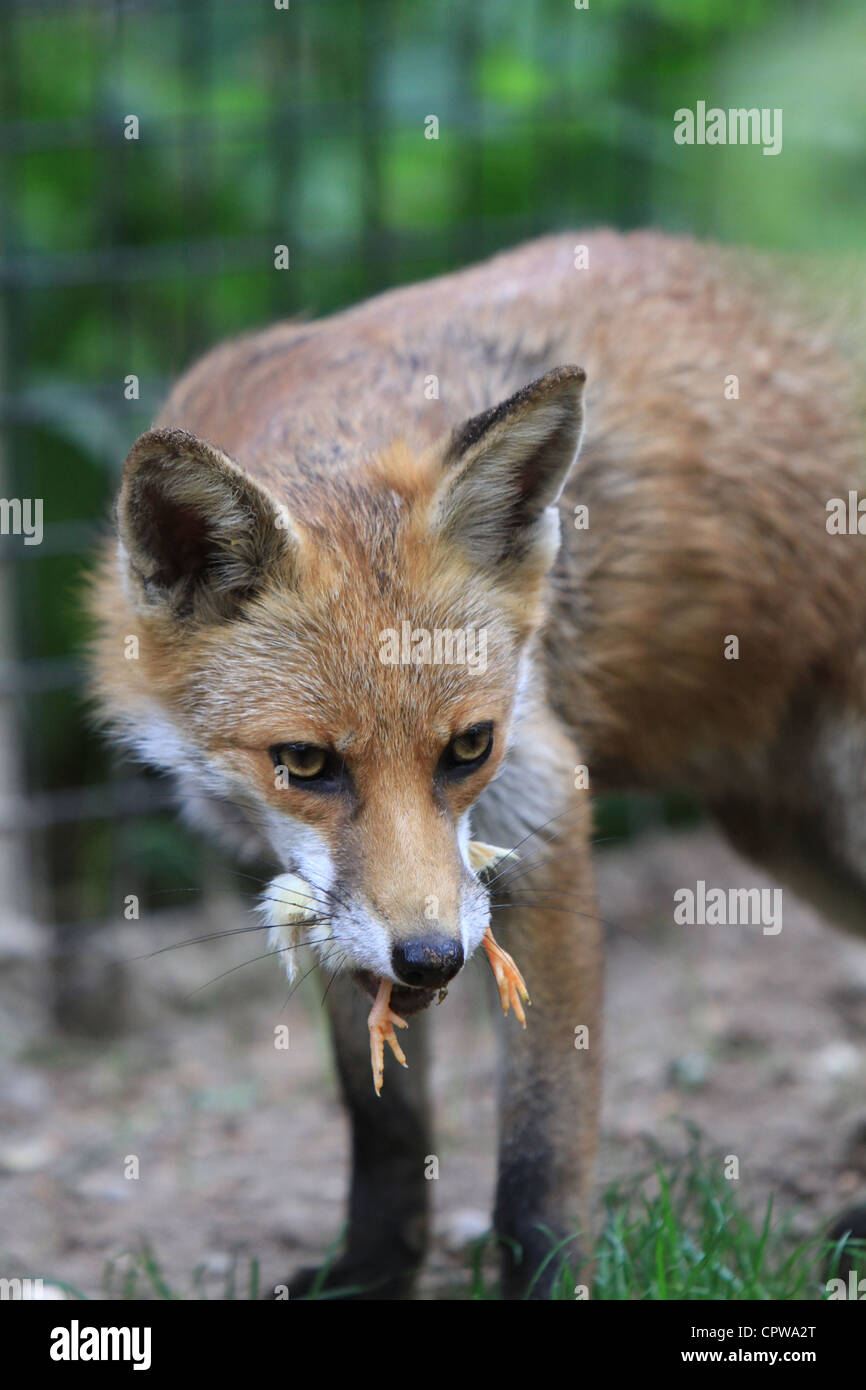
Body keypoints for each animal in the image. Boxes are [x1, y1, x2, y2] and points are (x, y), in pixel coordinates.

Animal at [88, 230, 866, 1299]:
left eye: (469, 747)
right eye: (304, 762)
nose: (432, 959)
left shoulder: (540, 817)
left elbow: (540, 1156)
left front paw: (544, 1280)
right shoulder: (321, 896)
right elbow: (382, 1128)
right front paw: (369, 1272)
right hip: (794, 834)